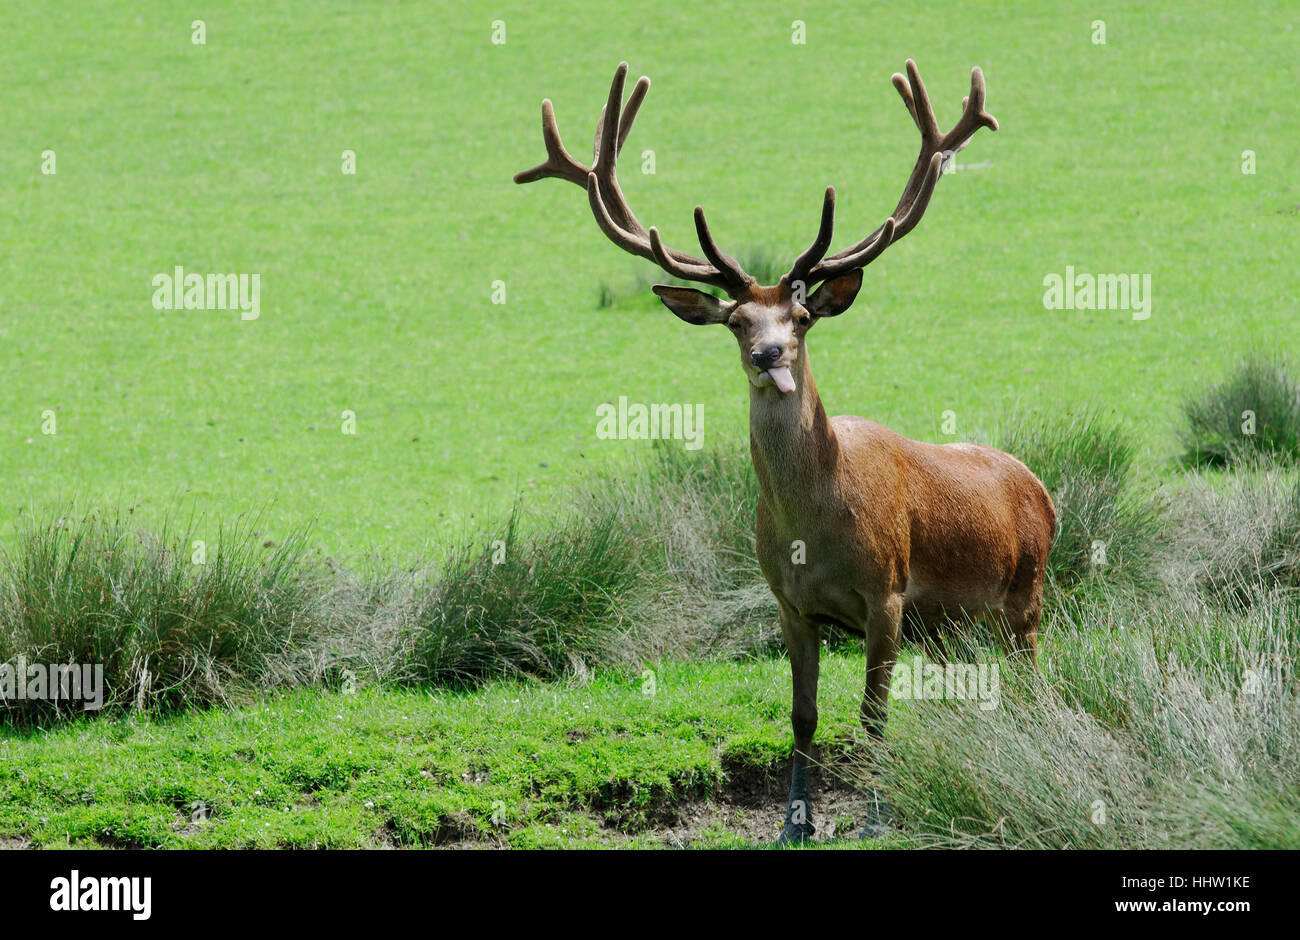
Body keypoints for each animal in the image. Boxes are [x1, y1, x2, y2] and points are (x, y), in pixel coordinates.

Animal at [515, 61, 1056, 844]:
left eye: (801, 316)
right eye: (737, 320)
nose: (769, 355)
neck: (814, 535)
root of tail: (1042, 491)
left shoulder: (888, 594)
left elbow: (873, 714)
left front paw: (874, 819)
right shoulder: (790, 605)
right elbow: (803, 718)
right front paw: (794, 824)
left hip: (1027, 597)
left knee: (1033, 683)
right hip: (956, 623)